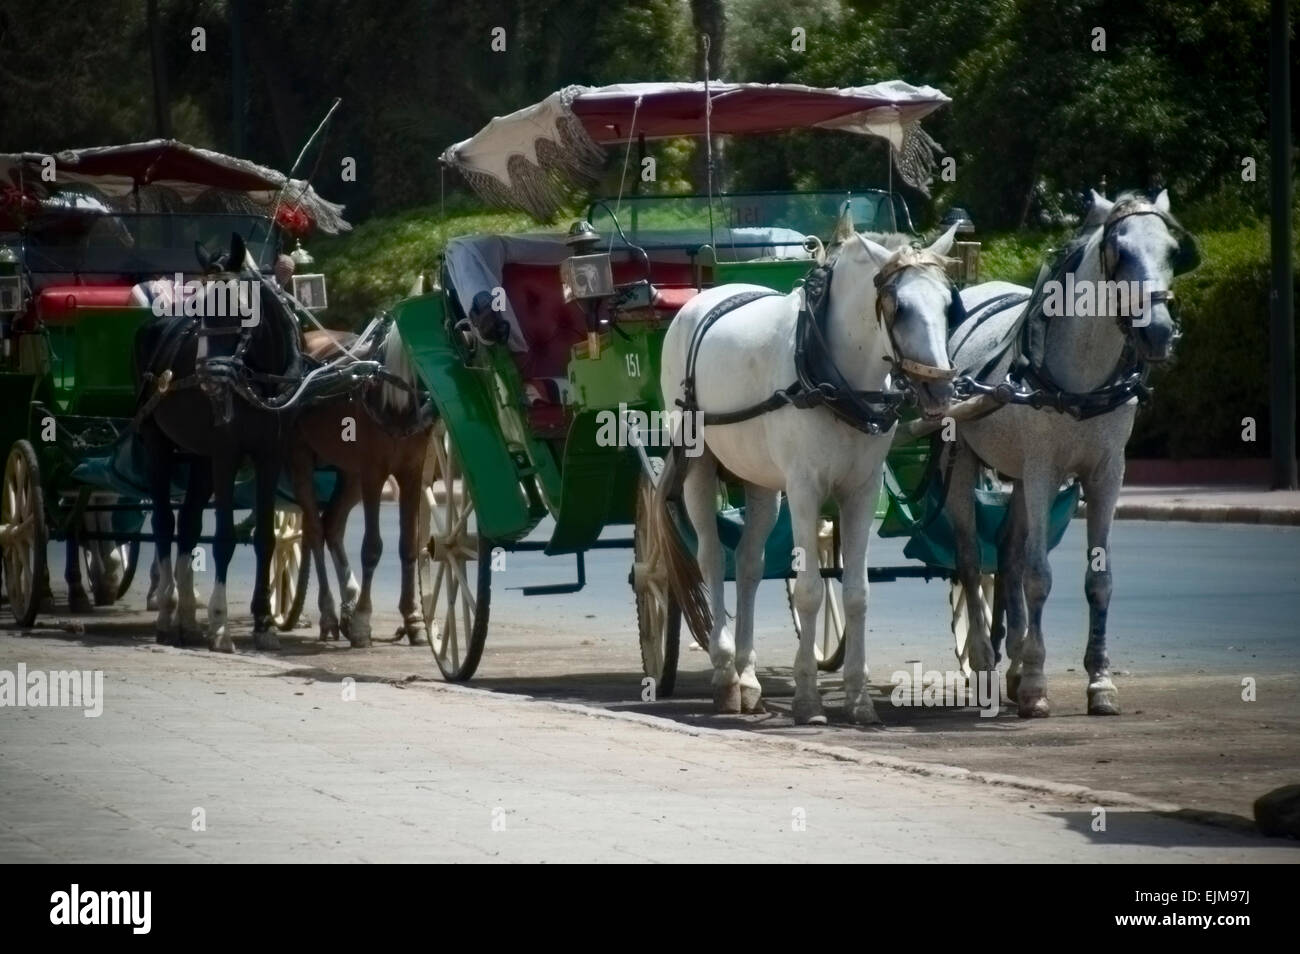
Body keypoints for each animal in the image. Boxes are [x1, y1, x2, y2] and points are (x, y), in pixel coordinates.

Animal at [288, 323, 431, 649]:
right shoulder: (373, 473)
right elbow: (372, 548)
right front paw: (364, 622)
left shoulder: (411, 471)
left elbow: (408, 545)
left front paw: (413, 620)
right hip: (300, 457)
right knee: (314, 531)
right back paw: (330, 615)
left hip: (350, 473)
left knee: (332, 525)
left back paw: (347, 607)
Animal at [655, 227, 961, 727]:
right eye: (897, 306)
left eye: (948, 304)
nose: (940, 388)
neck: (833, 376)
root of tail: (702, 299)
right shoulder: (803, 489)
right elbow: (811, 589)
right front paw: (808, 700)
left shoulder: (862, 491)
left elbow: (856, 593)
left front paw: (858, 699)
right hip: (698, 464)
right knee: (712, 559)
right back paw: (725, 675)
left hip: (761, 482)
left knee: (749, 565)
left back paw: (748, 678)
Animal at [946, 188, 1196, 717]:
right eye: (1118, 251)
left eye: (1172, 251)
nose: (1158, 333)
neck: (1081, 379)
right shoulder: (1044, 469)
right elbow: (1039, 575)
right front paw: (1036, 685)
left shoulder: (1107, 474)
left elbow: (1097, 578)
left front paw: (1099, 681)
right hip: (961, 461)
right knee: (972, 560)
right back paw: (984, 661)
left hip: (1021, 476)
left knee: (1008, 555)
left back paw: (1013, 659)